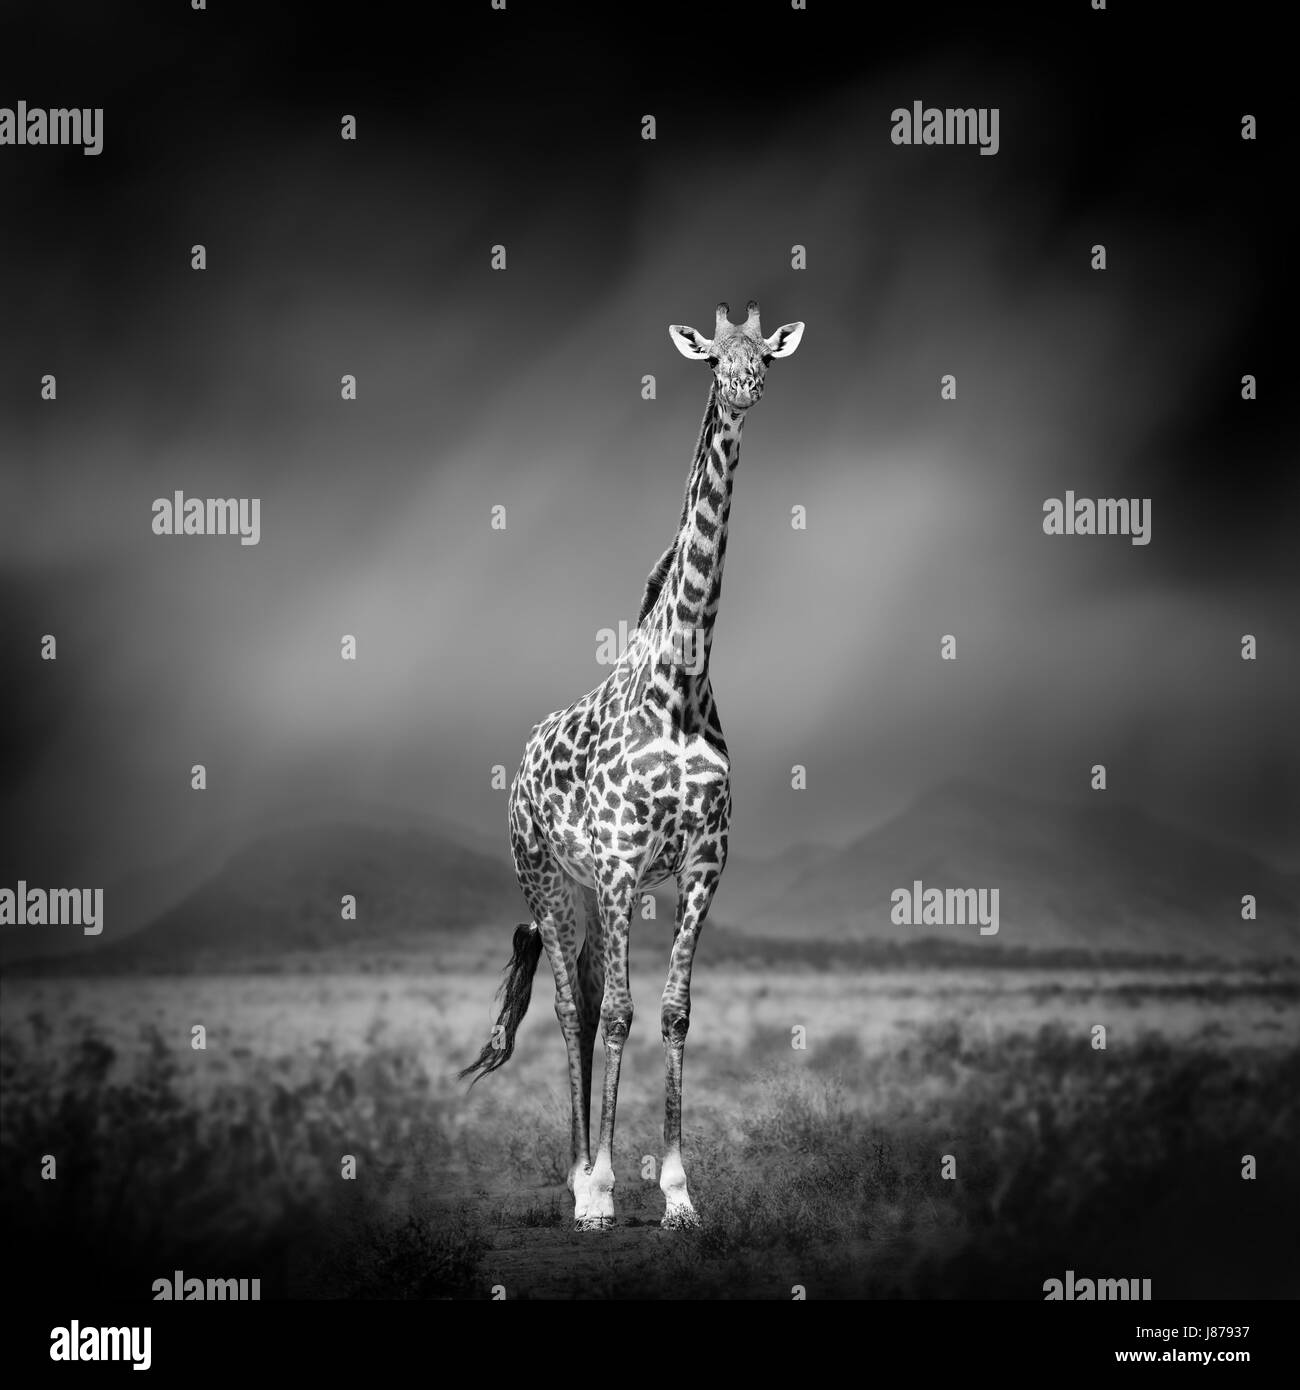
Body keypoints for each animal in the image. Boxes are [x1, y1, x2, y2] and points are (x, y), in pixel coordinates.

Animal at [460, 300, 805, 1229]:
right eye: (713, 359)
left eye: (764, 356)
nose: (744, 388)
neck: (682, 683)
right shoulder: (619, 864)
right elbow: (616, 1013)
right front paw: (608, 1190)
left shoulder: (702, 863)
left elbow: (675, 1012)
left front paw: (680, 1192)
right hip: (548, 877)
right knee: (570, 1005)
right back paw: (581, 1181)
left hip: (582, 892)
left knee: (578, 997)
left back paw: (585, 1173)